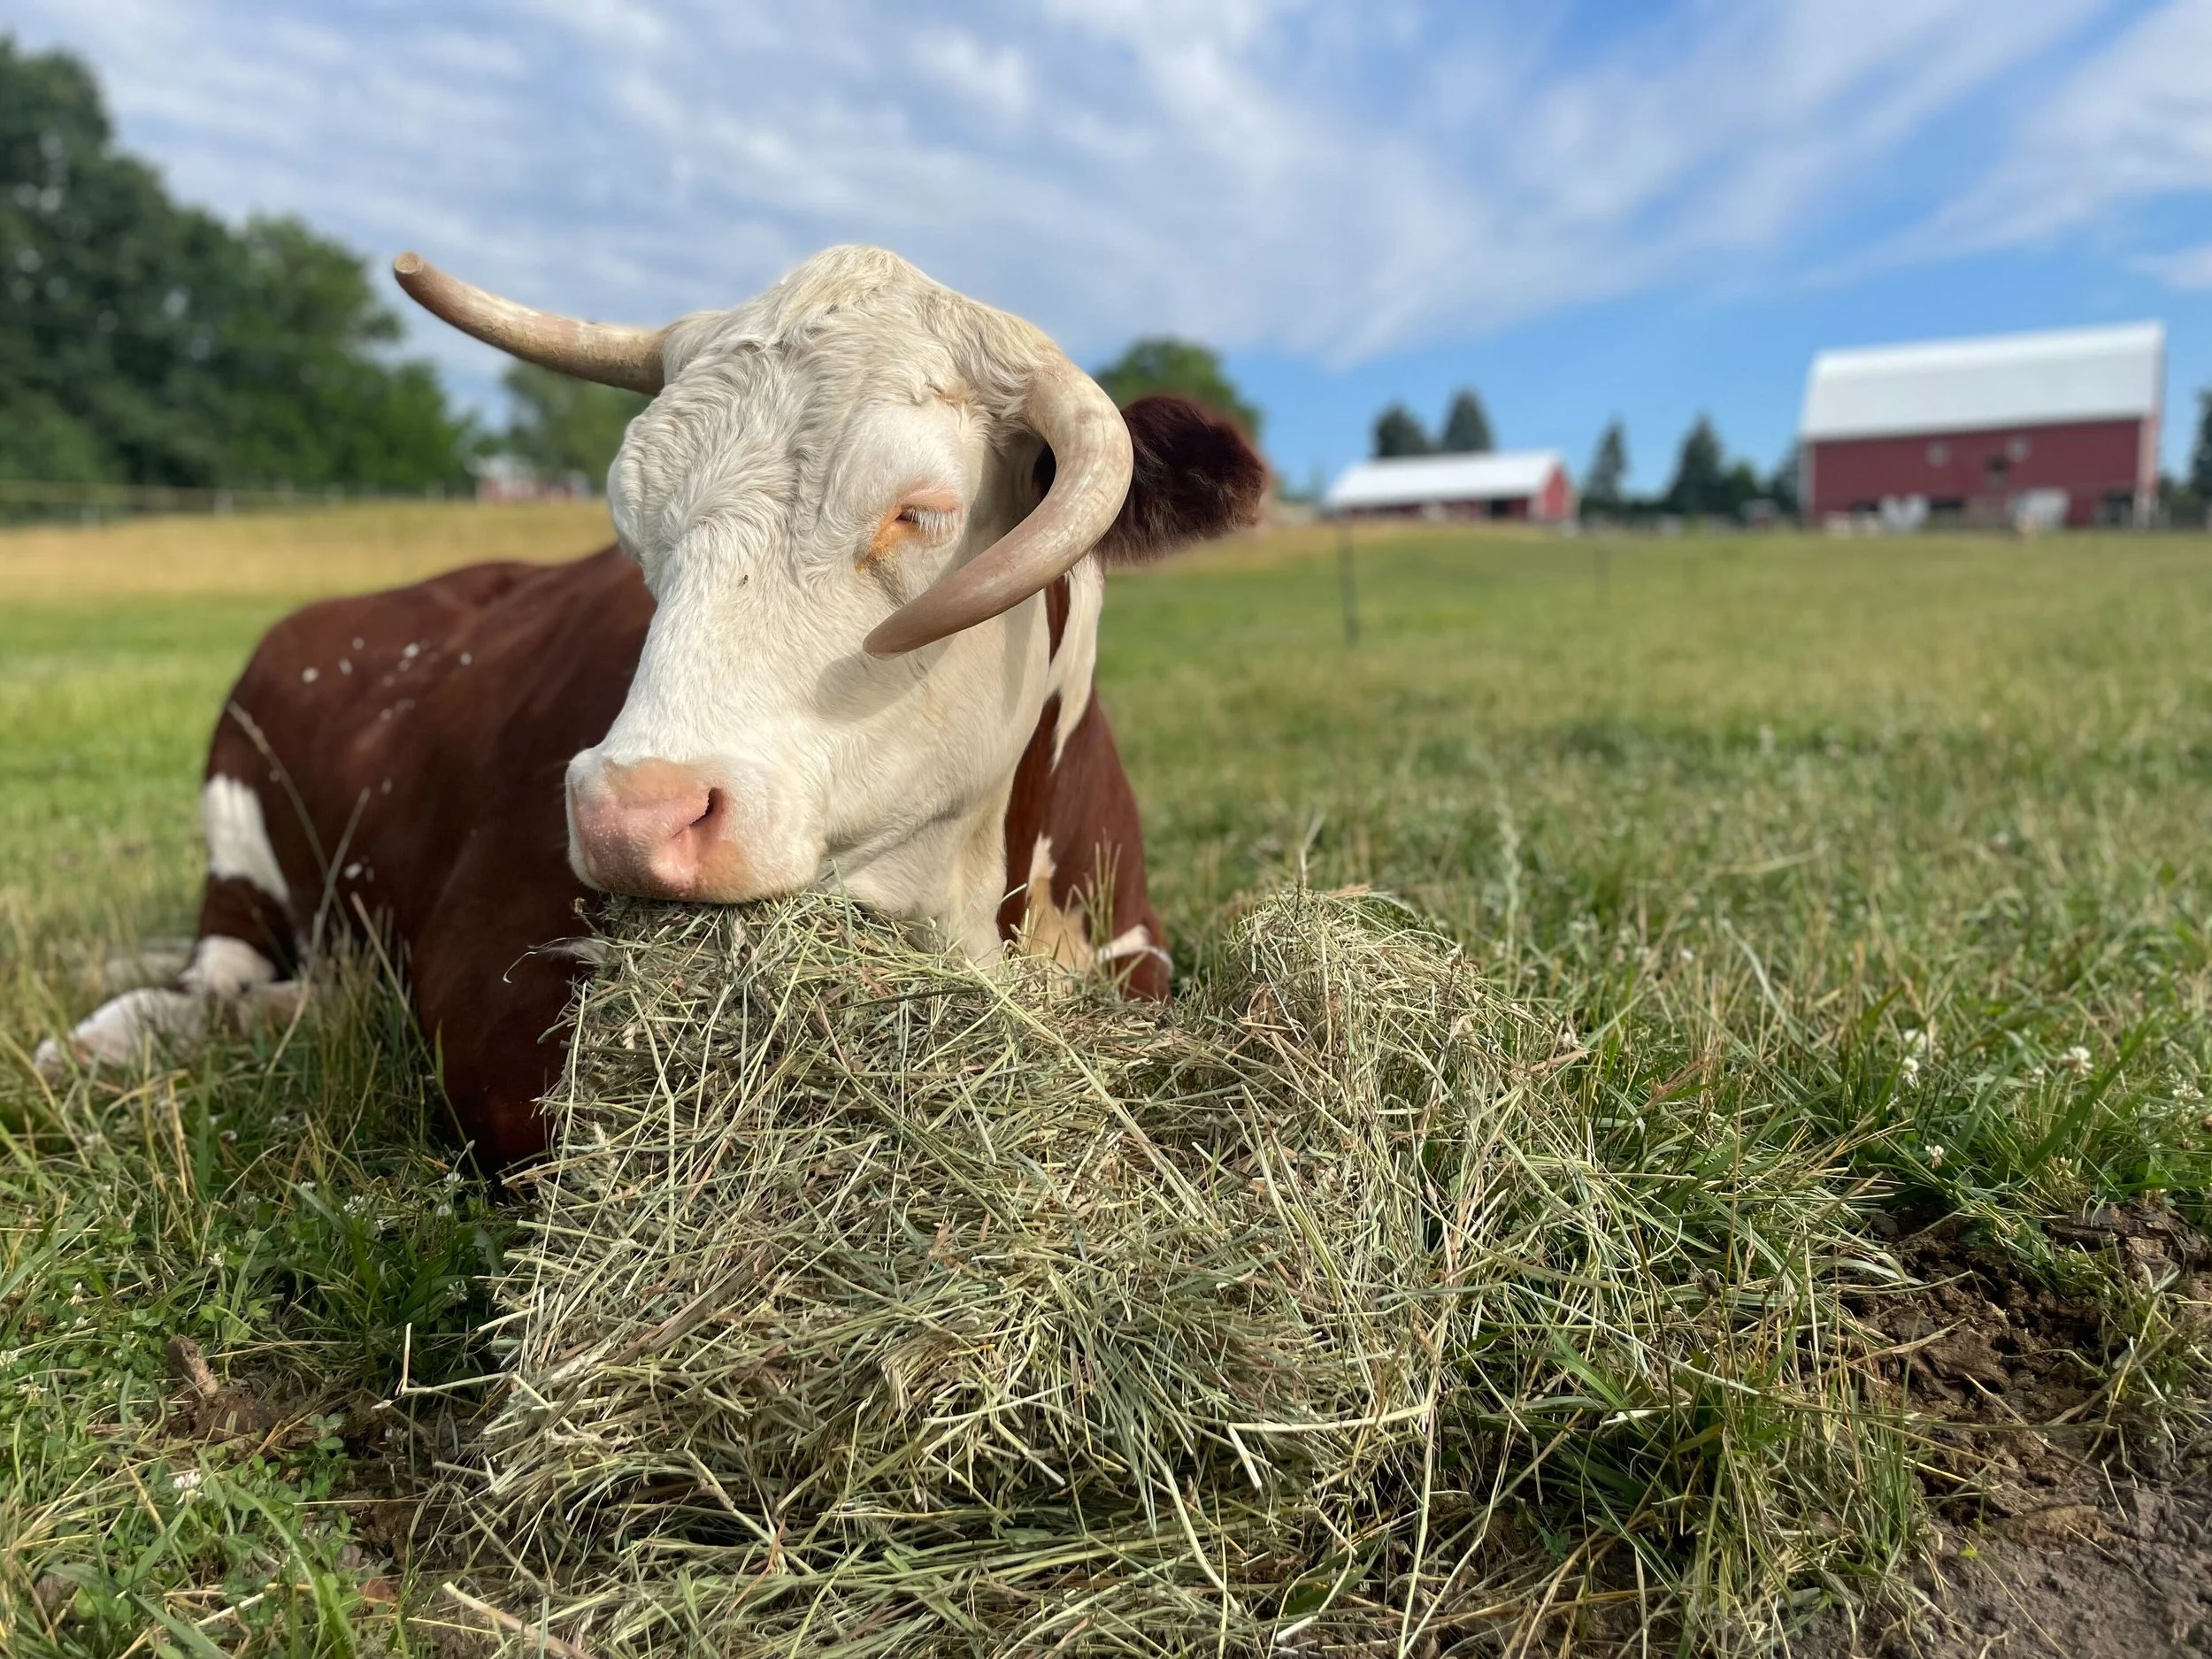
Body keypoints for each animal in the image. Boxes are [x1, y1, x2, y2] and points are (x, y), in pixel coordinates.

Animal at [34, 245, 1267, 1165]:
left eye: (918, 512)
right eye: (634, 525)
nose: (631, 813)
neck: (966, 896)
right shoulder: (483, 989)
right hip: (237, 839)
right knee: (208, 980)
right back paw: (107, 1042)